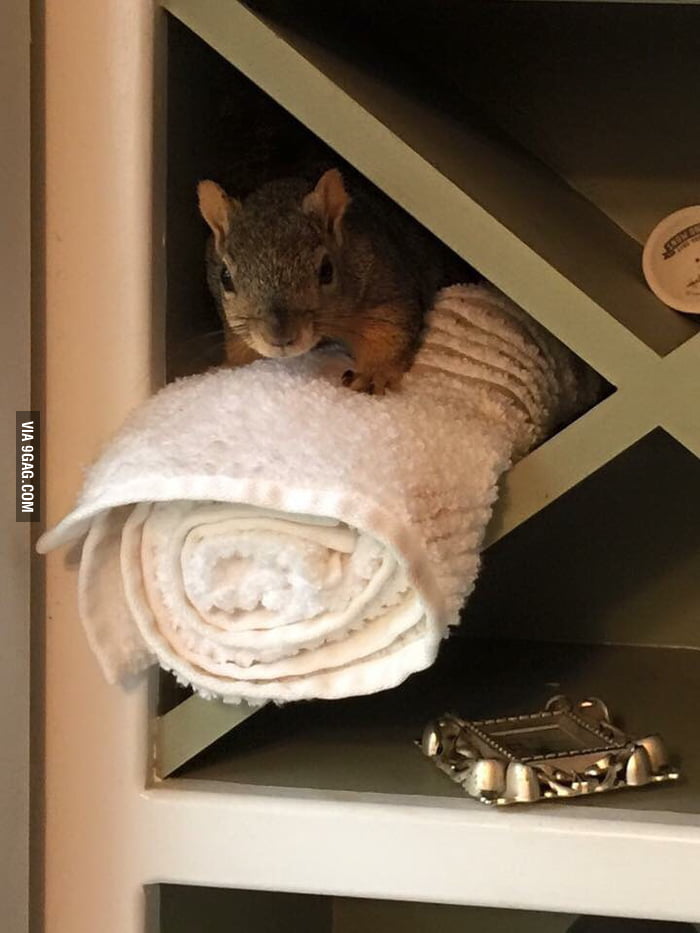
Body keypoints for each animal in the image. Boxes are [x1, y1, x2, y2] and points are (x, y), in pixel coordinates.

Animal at [197, 168, 462, 393]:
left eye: (327, 270)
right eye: (225, 278)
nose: (280, 338)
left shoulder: (383, 284)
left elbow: (389, 329)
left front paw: (372, 376)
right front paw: (231, 365)